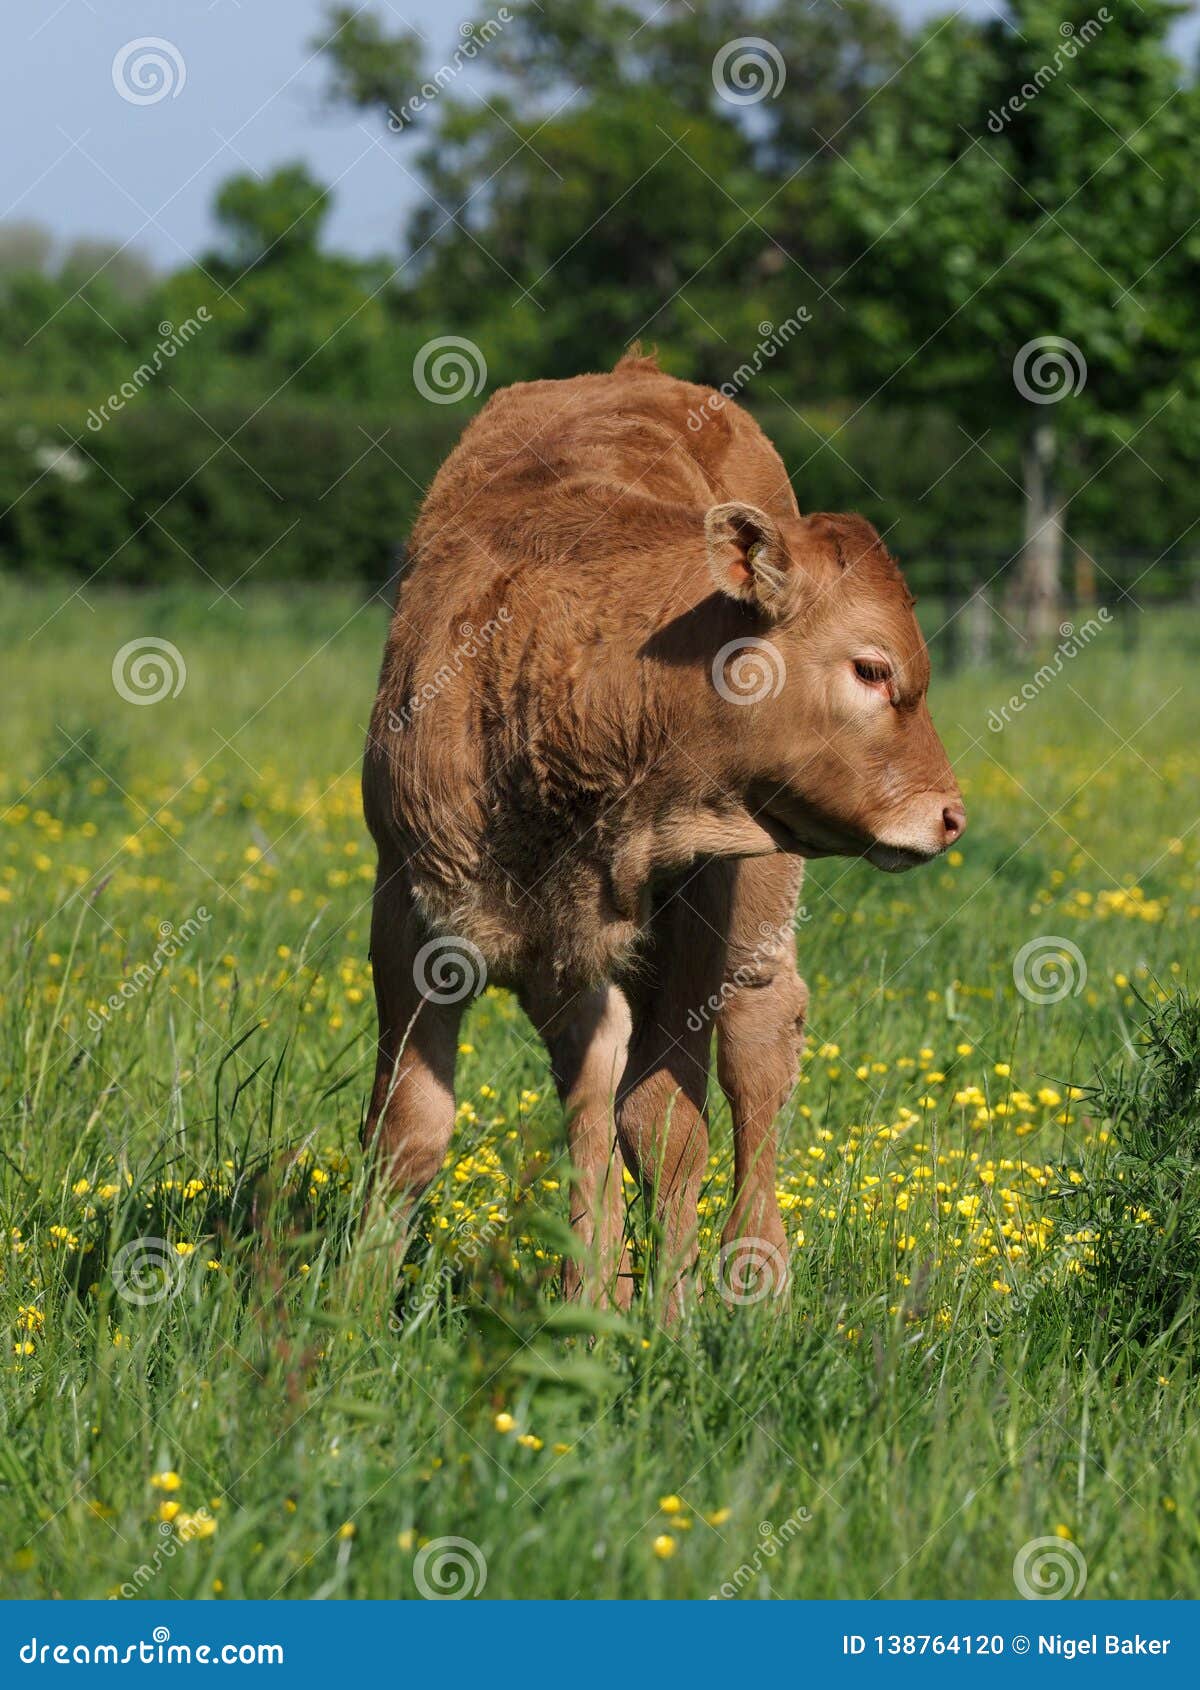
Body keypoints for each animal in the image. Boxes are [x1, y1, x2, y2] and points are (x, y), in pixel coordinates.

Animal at [362, 348, 965, 1313]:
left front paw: (655, 1316)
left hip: (754, 905)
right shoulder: (412, 912)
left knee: (753, 1053)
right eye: (872, 669)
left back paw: (753, 1279)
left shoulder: (695, 903)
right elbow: (412, 1127)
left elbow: (662, 1124)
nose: (949, 814)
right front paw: (350, 1308)